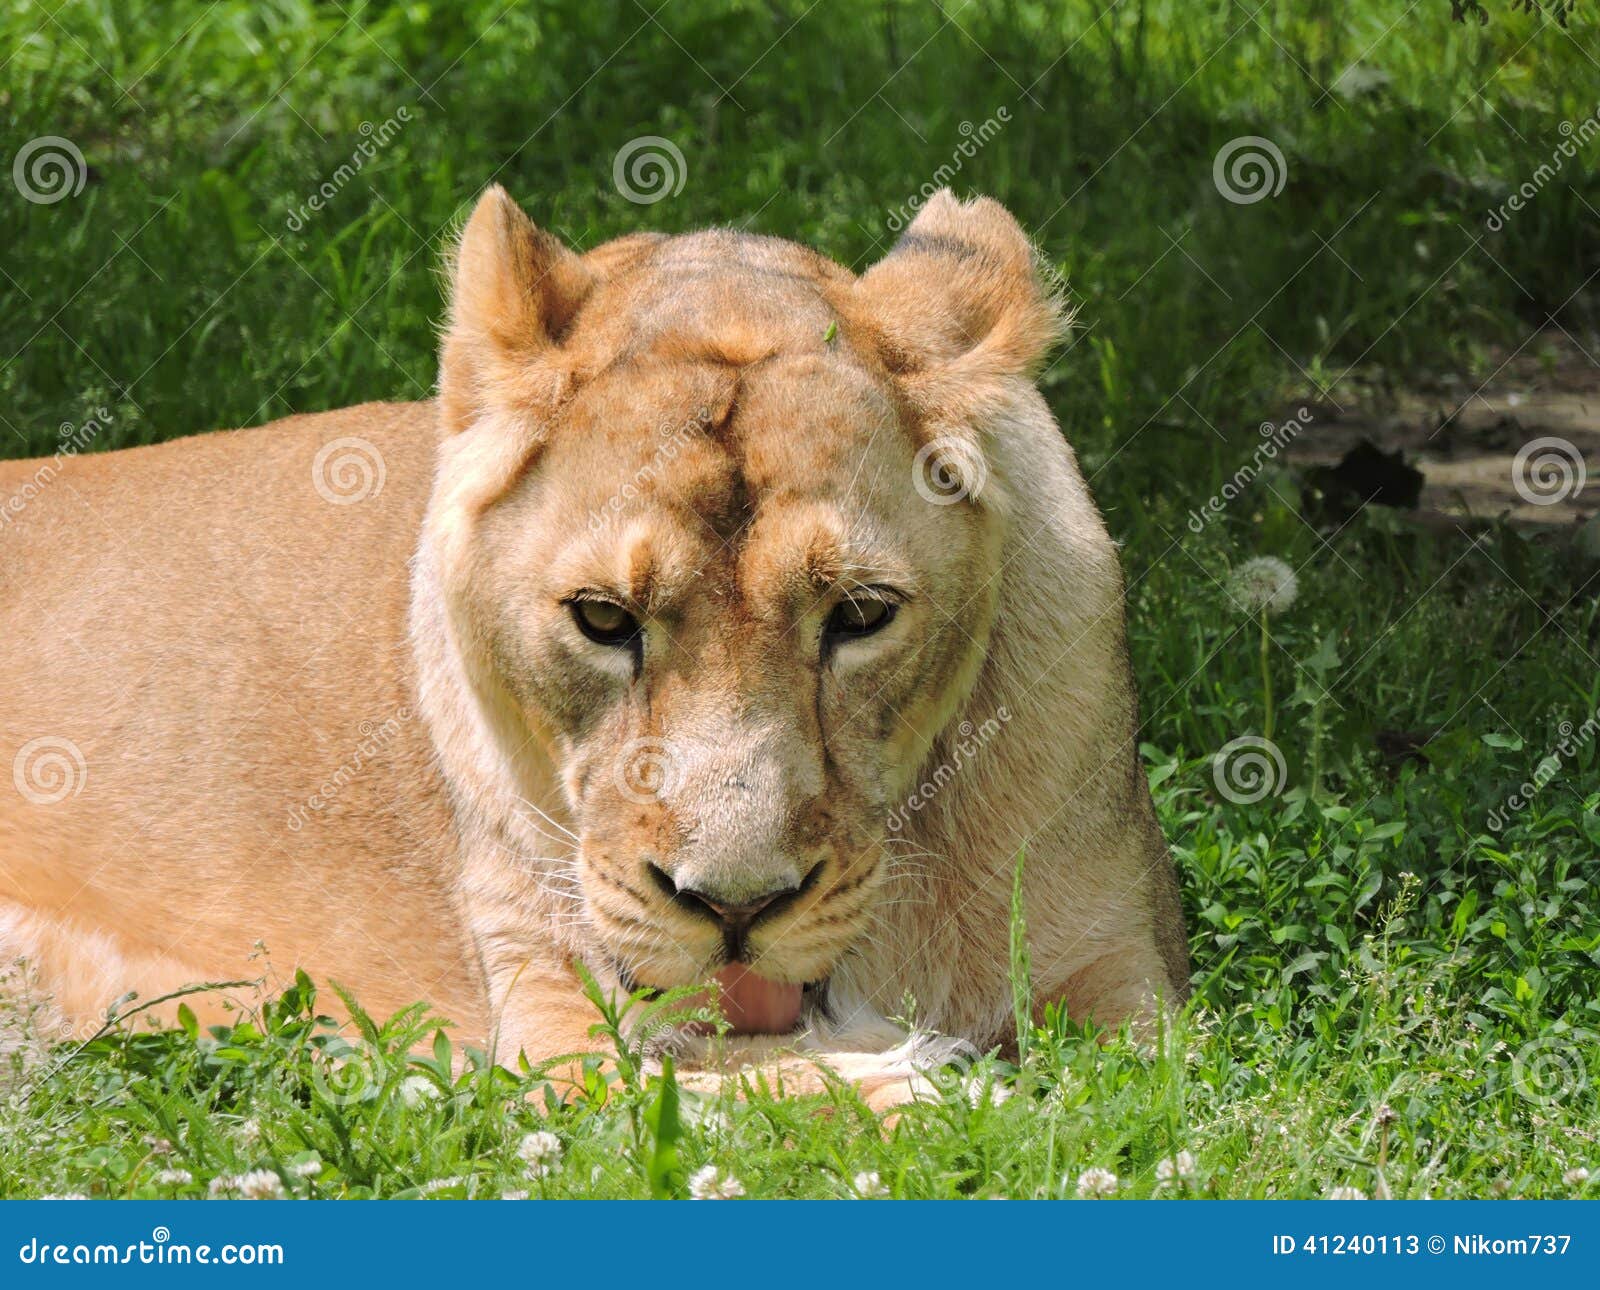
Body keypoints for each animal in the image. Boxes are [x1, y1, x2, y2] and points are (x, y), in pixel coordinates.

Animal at [0, 187, 1188, 1106]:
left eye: (858, 615)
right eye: (604, 620)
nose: (736, 909)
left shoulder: (1135, 988)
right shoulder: (554, 1032)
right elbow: (757, 1090)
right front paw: (907, 1075)